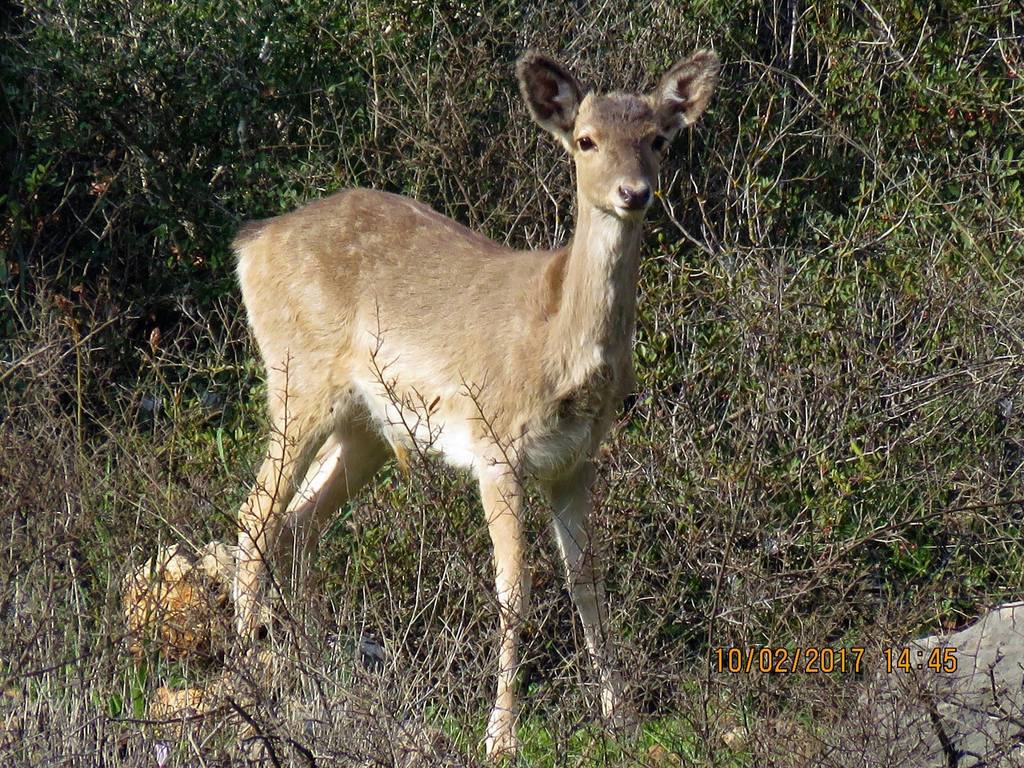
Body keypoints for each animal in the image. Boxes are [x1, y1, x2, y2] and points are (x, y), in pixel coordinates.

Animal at [230, 48, 719, 757]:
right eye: (585, 140)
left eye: (657, 139)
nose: (634, 193)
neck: (556, 342)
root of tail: (250, 243)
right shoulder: (497, 448)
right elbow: (515, 591)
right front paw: (502, 738)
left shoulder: (577, 461)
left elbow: (588, 582)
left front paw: (623, 721)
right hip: (297, 380)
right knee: (255, 519)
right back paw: (252, 691)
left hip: (366, 426)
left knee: (297, 526)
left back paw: (315, 685)